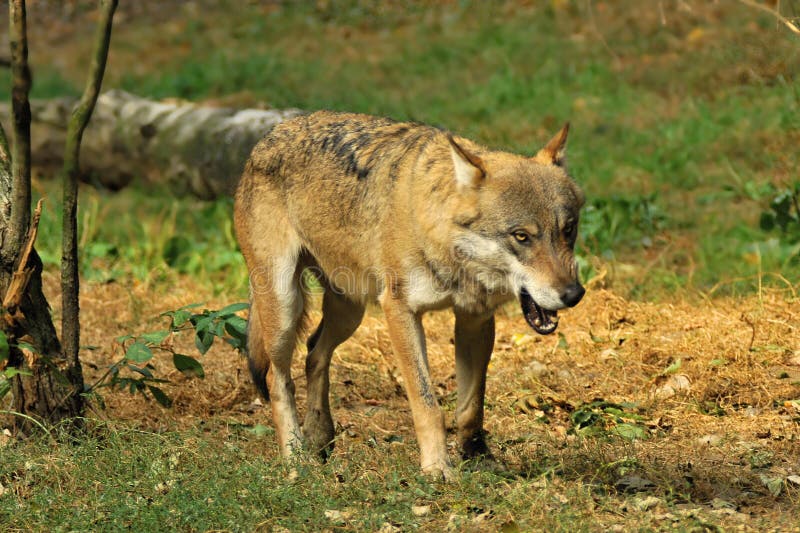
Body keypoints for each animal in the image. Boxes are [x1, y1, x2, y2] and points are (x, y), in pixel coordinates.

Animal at [234, 111, 585, 479]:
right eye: (521, 236)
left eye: (568, 229)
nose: (574, 294)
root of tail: (269, 135)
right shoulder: (400, 312)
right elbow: (427, 403)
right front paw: (437, 467)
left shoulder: (474, 320)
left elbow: (471, 406)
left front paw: (477, 458)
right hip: (285, 307)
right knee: (277, 378)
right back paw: (295, 457)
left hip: (350, 312)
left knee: (314, 352)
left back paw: (319, 438)